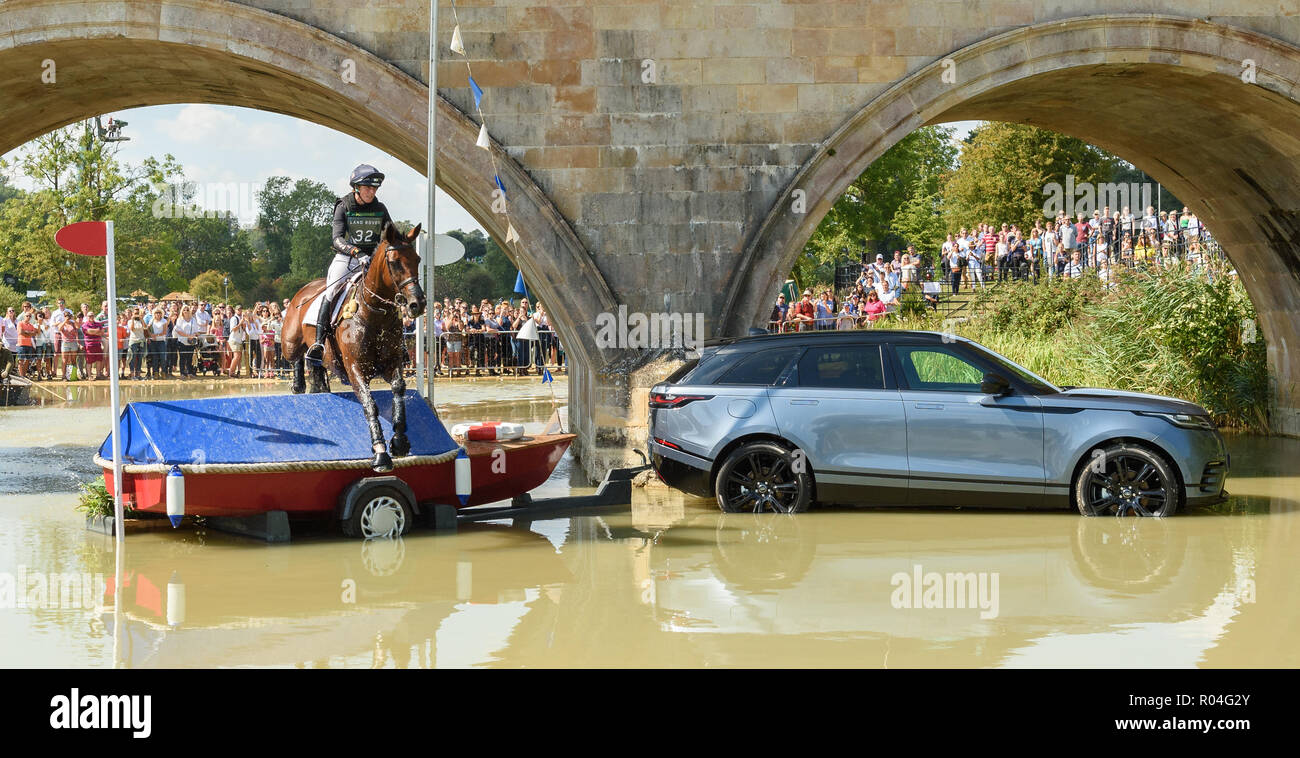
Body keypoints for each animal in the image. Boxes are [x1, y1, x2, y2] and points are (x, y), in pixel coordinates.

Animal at [283, 222, 426, 470]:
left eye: (417, 259)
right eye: (395, 262)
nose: (418, 303)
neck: (375, 314)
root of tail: (304, 290)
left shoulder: (393, 362)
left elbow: (398, 388)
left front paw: (399, 441)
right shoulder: (355, 369)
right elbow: (370, 404)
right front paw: (380, 453)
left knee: (317, 370)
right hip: (289, 343)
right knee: (297, 358)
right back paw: (298, 383)